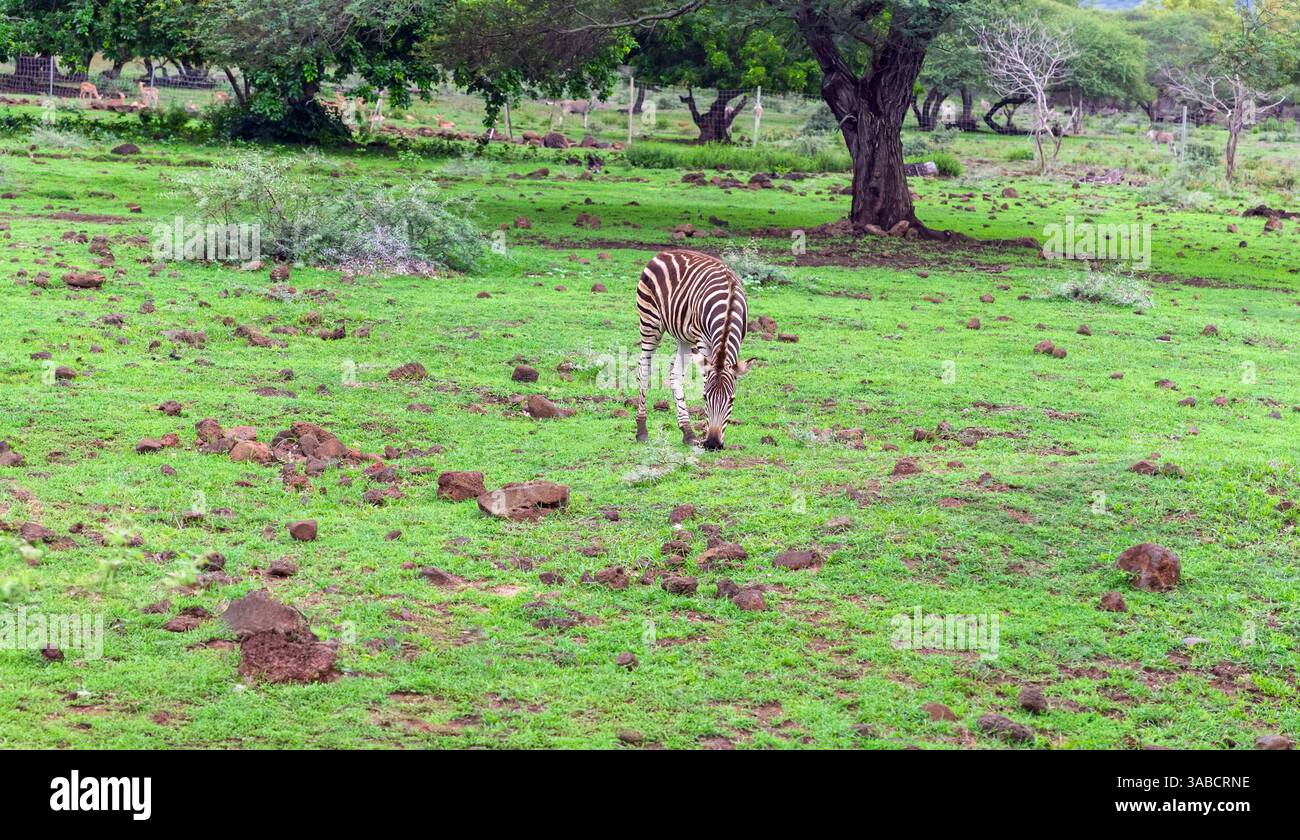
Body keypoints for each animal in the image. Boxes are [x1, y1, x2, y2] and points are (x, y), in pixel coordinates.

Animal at [635, 249, 753, 450]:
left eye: (732, 400)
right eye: (705, 398)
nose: (713, 444)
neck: (728, 308)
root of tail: (664, 252)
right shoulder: (703, 342)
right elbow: (705, 380)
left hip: (683, 337)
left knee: (674, 374)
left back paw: (687, 432)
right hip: (650, 323)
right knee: (644, 368)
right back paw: (642, 430)